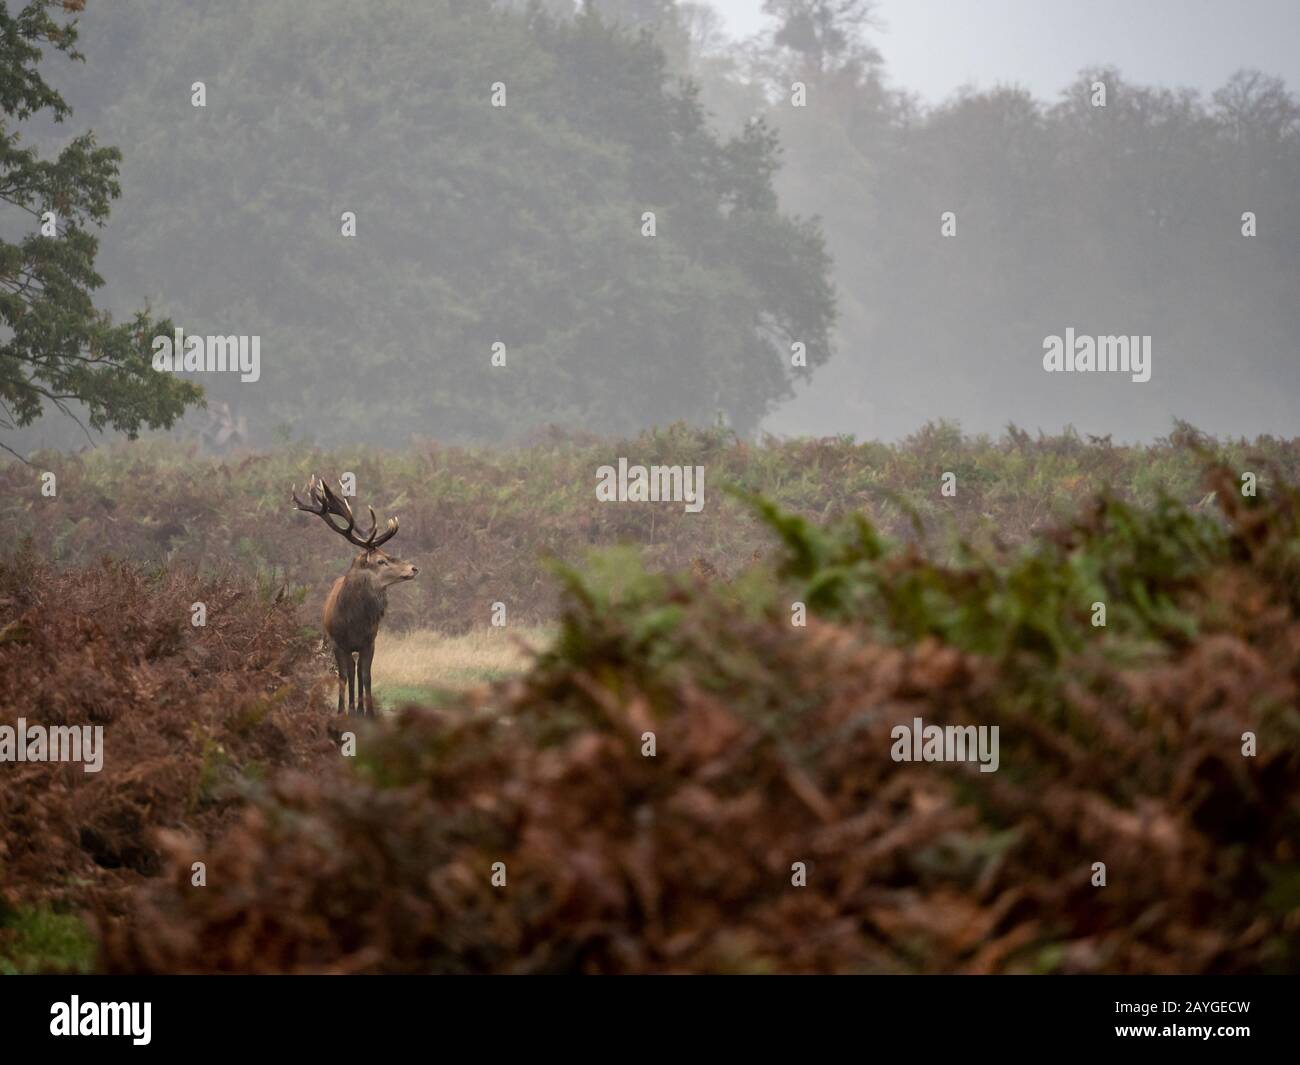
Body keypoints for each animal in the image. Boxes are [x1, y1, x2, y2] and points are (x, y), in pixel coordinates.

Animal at [291, 475, 418, 717]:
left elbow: (366, 675)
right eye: (381, 561)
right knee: (350, 672)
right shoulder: (337, 643)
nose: (413, 568)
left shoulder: (370, 641)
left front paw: (369, 711)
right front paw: (343, 710)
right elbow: (343, 676)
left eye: (388, 554)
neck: (354, 621)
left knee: (358, 672)